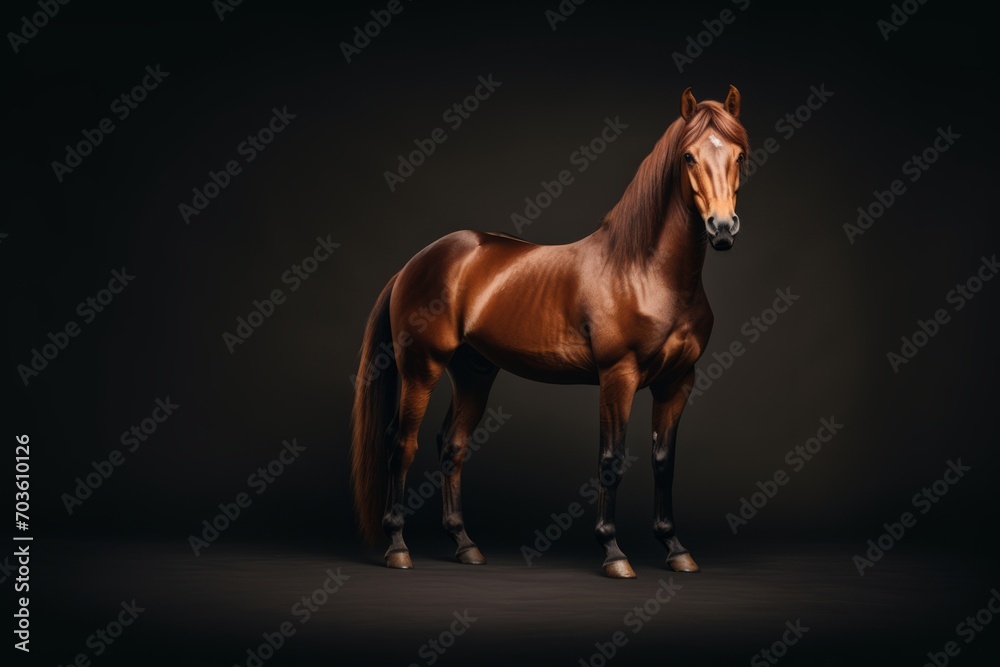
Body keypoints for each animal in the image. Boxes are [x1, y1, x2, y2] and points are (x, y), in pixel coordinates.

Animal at [351, 86, 749, 578]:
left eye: (739, 154)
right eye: (689, 156)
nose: (722, 227)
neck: (646, 272)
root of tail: (416, 261)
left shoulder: (677, 382)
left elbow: (663, 462)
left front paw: (675, 548)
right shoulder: (618, 377)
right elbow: (611, 460)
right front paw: (613, 552)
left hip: (473, 372)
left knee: (453, 445)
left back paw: (465, 544)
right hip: (421, 368)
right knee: (402, 443)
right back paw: (397, 546)